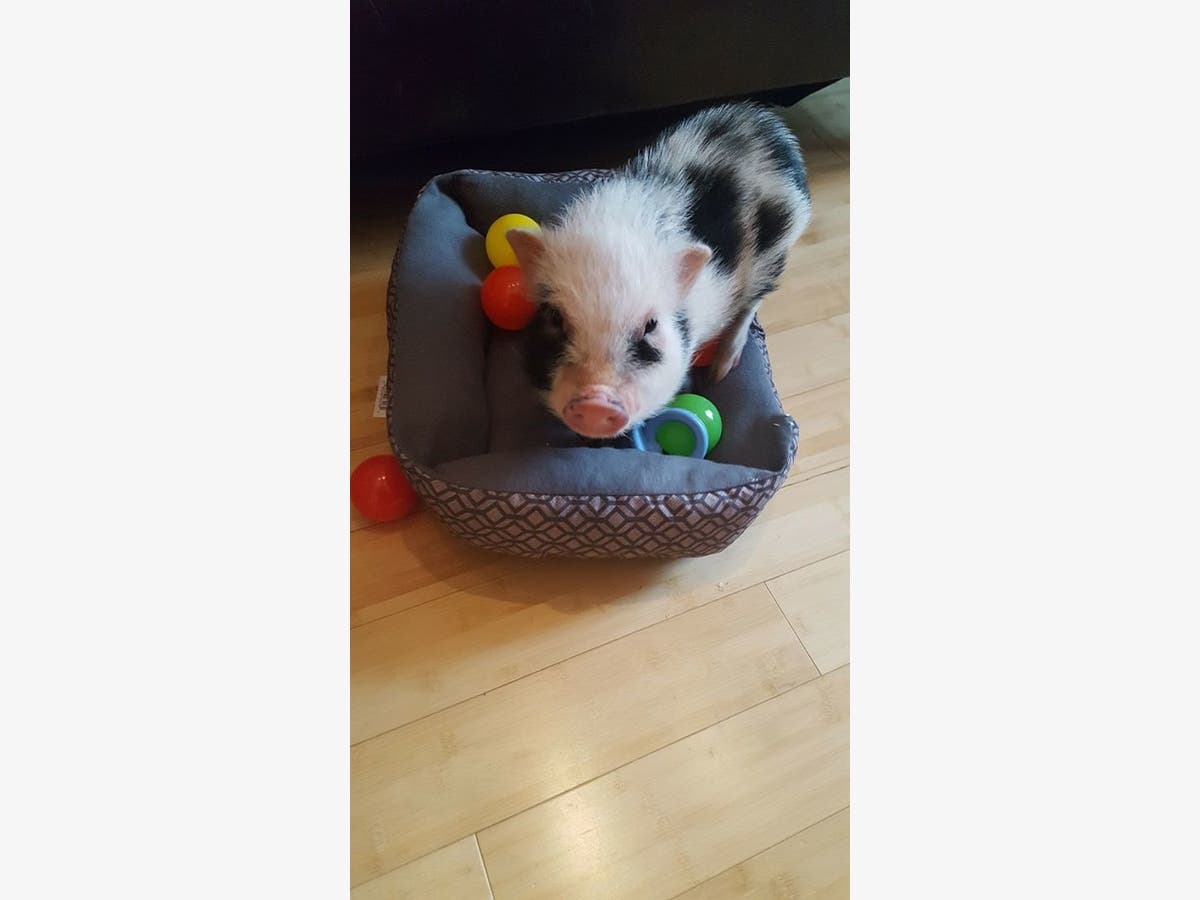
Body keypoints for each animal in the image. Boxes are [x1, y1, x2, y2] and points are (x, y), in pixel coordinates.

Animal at [506, 102, 811, 440]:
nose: (597, 402)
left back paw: (720, 370)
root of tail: (765, 121)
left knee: (752, 304)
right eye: (554, 317)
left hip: (777, 250)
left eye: (651, 325)